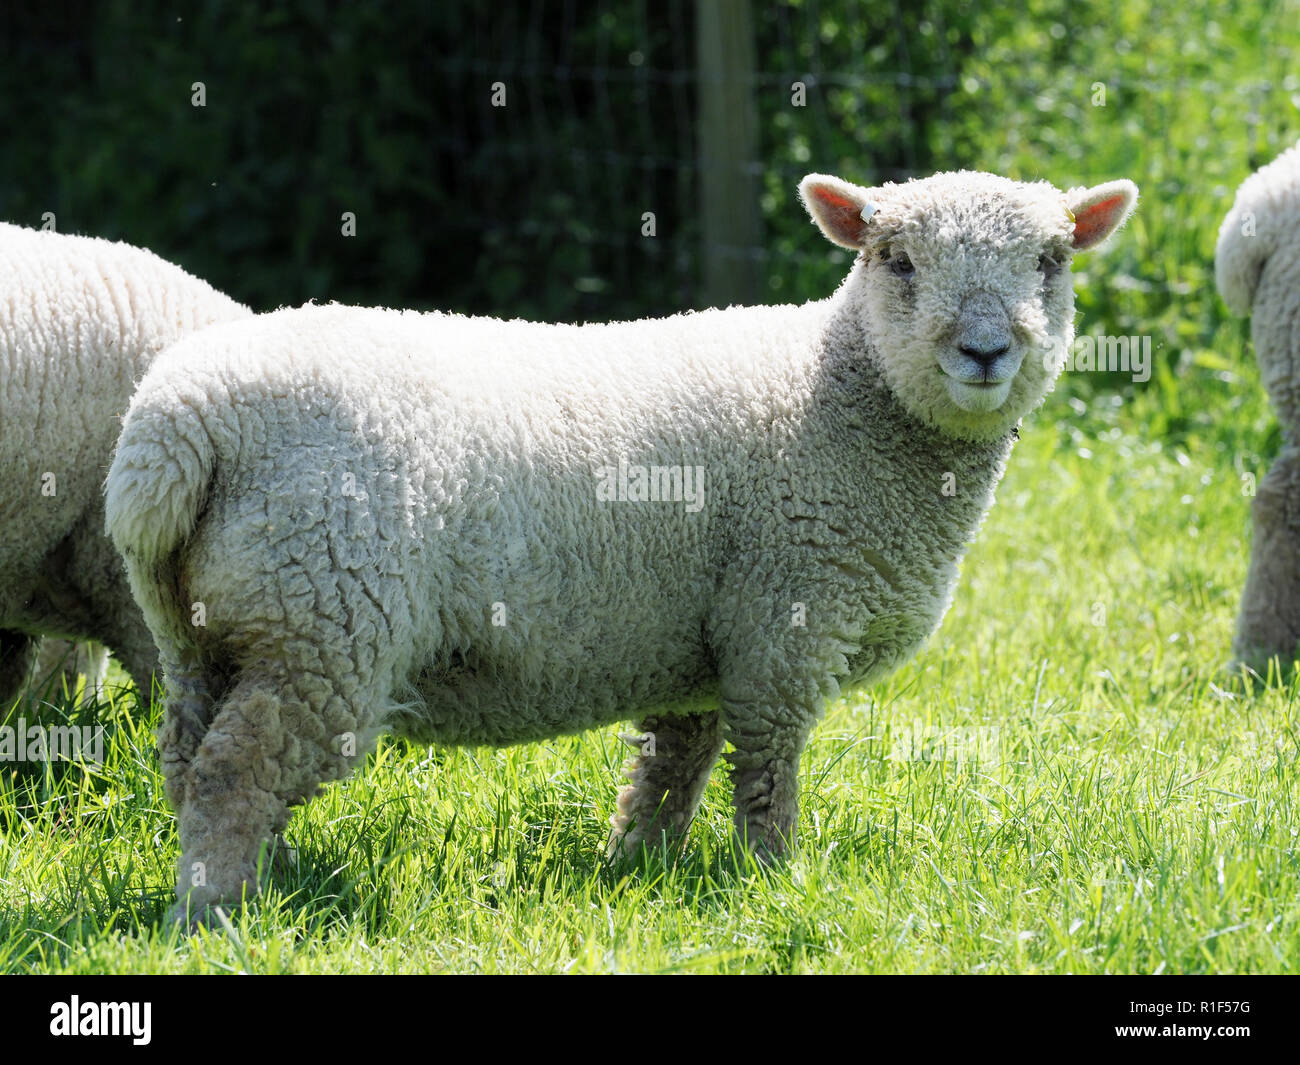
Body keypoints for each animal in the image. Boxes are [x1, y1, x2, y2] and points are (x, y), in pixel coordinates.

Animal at [105, 169, 1137, 924]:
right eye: (897, 259)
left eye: (1051, 259)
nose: (985, 351)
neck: (842, 396)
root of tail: (179, 423)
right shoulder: (783, 623)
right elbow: (768, 771)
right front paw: (773, 878)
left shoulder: (705, 646)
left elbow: (672, 768)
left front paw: (638, 869)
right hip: (323, 617)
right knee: (237, 771)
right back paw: (214, 915)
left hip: (206, 628)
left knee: (191, 762)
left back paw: (252, 882)